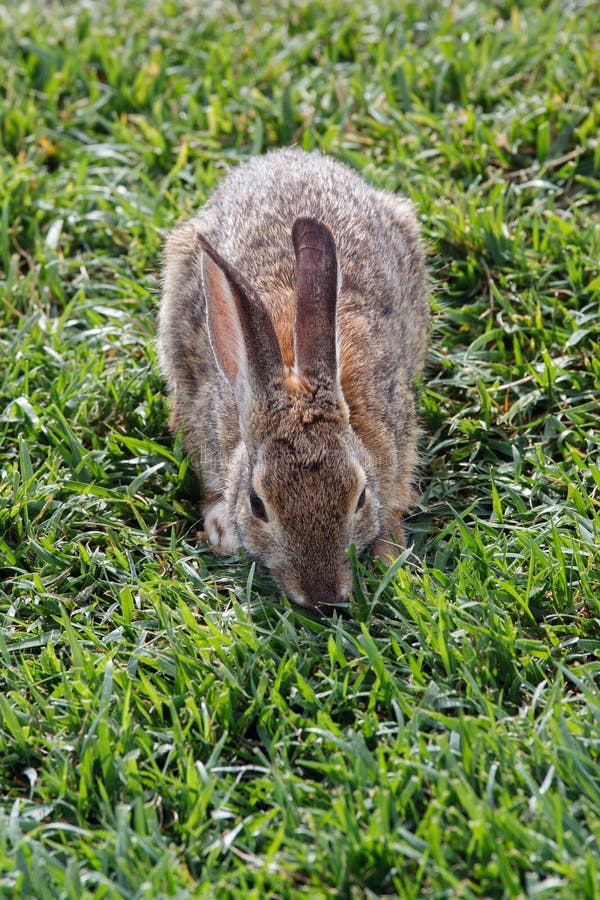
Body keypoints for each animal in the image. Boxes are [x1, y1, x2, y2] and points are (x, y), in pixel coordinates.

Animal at [158, 148, 428, 610]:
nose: (321, 597)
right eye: (257, 505)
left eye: (359, 497)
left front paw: (389, 551)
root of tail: (284, 158)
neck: (291, 375)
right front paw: (222, 531)